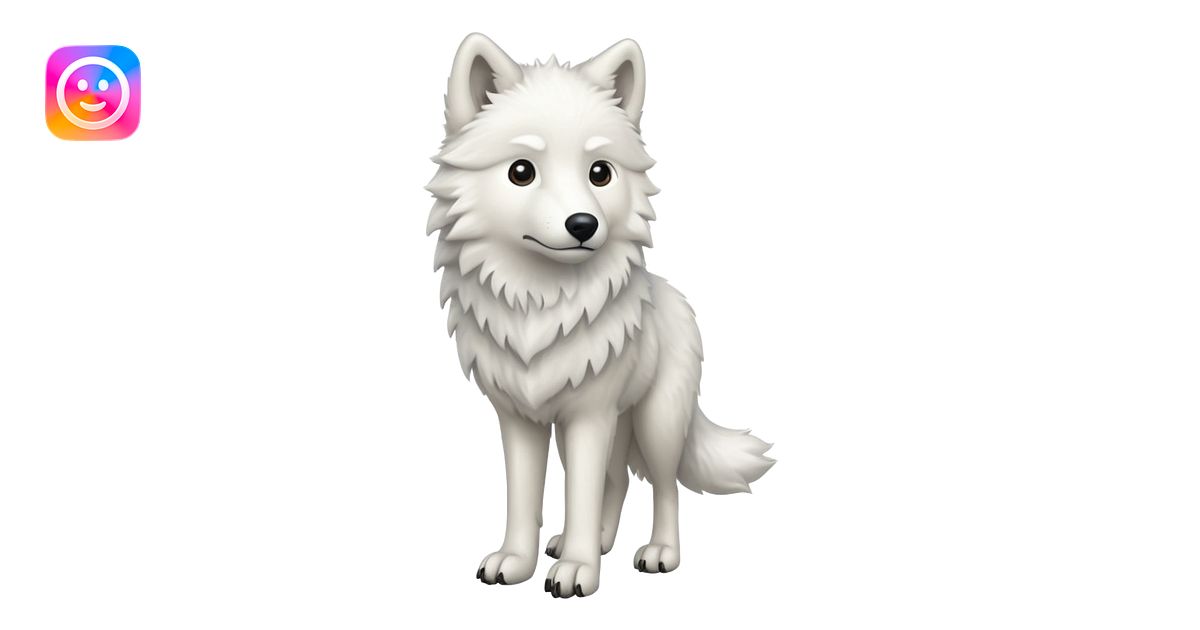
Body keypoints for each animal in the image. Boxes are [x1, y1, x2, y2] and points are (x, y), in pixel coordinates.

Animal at [427, 34, 775, 598]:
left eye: (600, 173)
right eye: (521, 171)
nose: (584, 224)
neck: (539, 303)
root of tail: (672, 295)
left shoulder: (590, 415)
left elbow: (584, 495)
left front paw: (578, 572)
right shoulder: (521, 417)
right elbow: (527, 498)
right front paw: (518, 561)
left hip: (655, 422)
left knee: (664, 486)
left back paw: (658, 553)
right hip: (608, 425)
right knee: (616, 481)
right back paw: (592, 543)